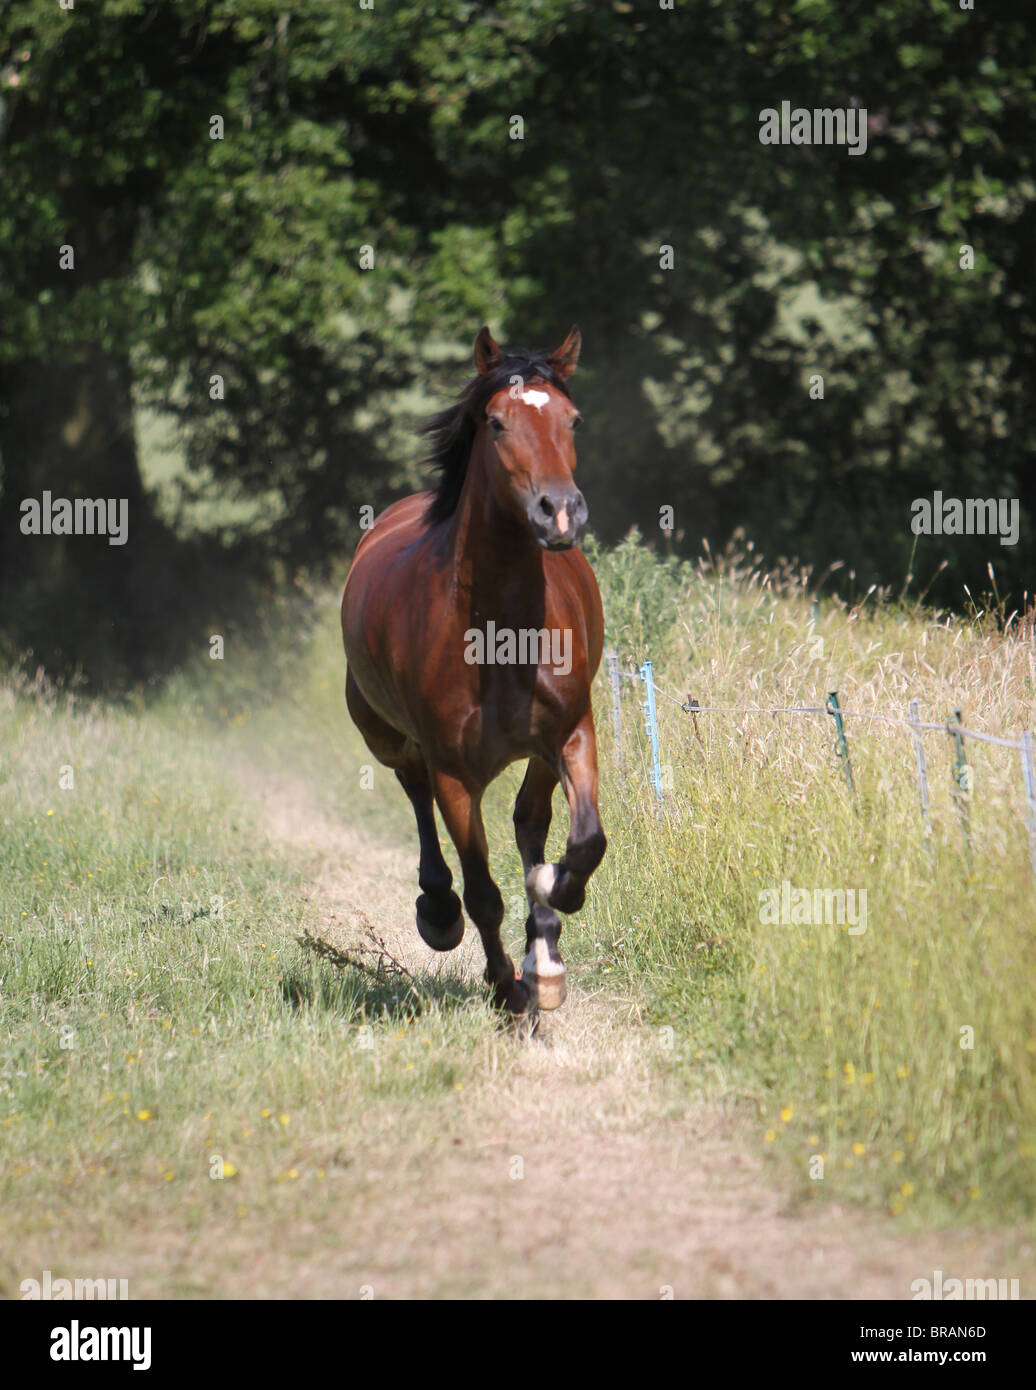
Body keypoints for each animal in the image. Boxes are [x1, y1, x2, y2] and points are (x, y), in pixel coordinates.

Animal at [341, 326, 607, 1015]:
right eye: (497, 422)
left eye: (573, 419)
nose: (558, 511)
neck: (501, 636)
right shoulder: (455, 775)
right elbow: (483, 891)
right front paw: (507, 992)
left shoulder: (571, 734)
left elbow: (584, 842)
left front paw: (553, 901)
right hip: (385, 737)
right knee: (414, 790)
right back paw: (439, 911)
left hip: (537, 752)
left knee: (531, 820)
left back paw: (544, 950)